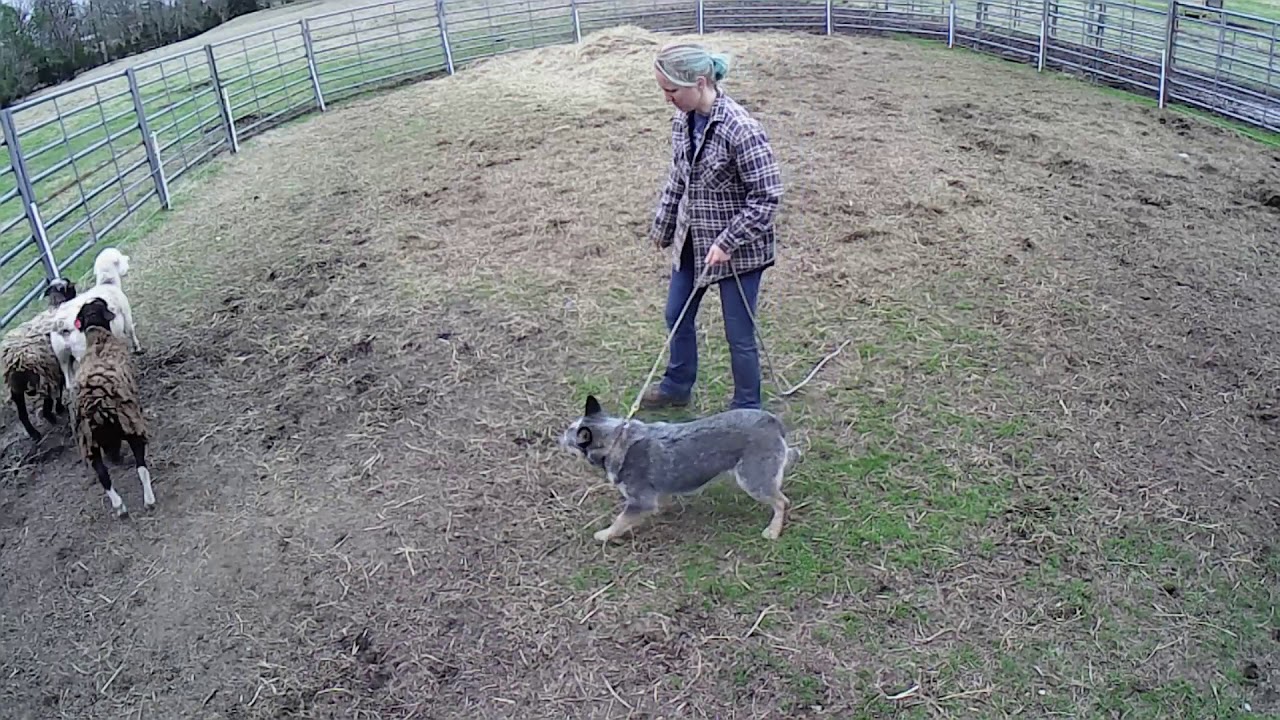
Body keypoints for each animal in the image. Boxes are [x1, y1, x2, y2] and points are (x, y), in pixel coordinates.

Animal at [1, 278, 79, 442]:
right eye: (70, 287)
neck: (56, 306)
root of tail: (18, 359)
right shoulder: (56, 369)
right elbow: (59, 389)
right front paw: (59, 408)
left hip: (16, 386)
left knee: (22, 413)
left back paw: (34, 433)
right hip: (42, 376)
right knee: (46, 402)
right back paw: (50, 417)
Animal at [71, 297, 153, 517]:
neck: (98, 337)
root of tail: (97, 408)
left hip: (89, 442)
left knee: (104, 477)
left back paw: (119, 507)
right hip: (130, 427)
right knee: (141, 467)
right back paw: (149, 500)